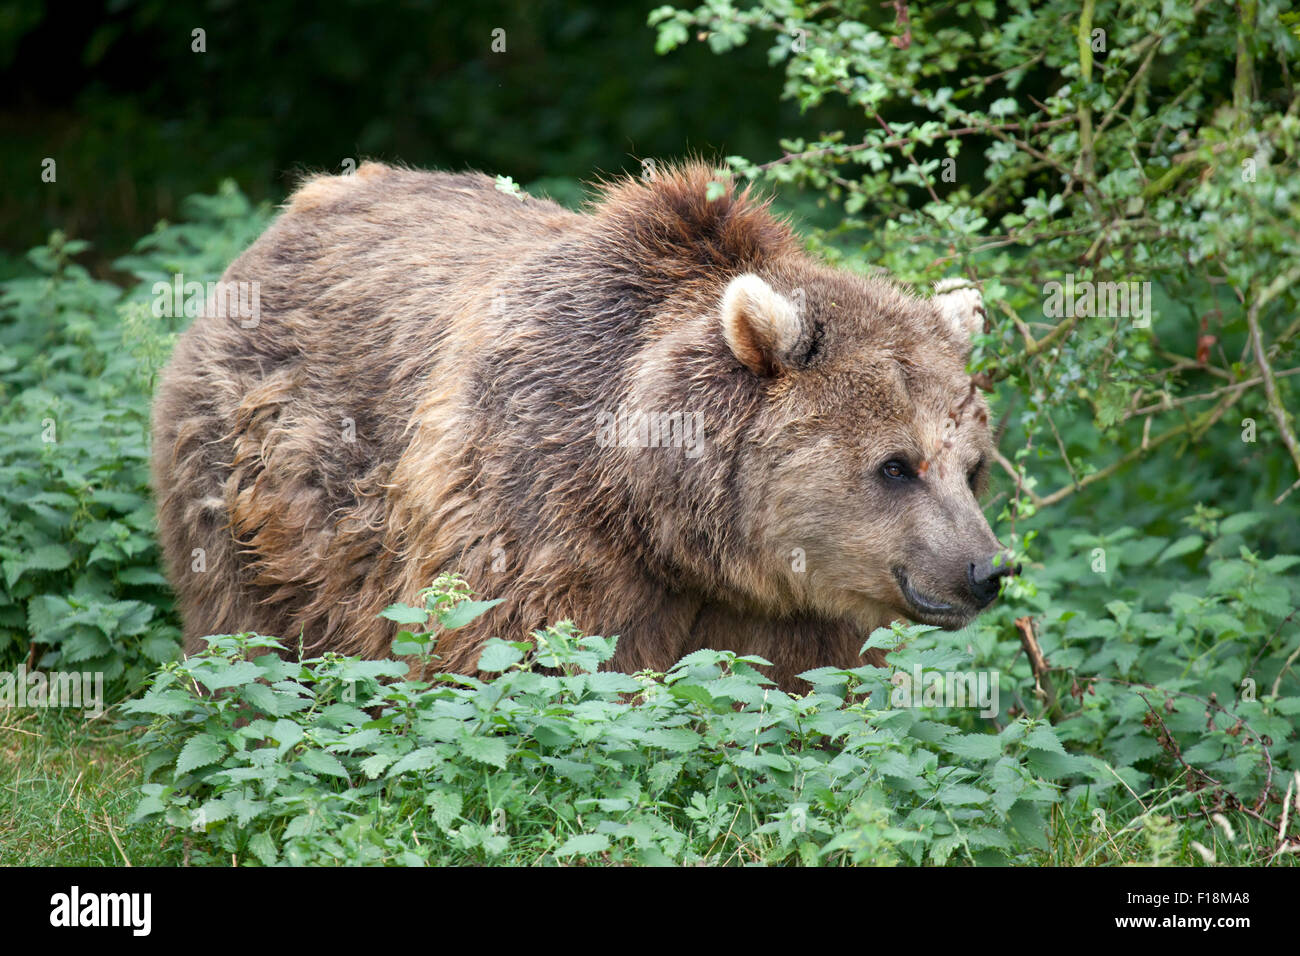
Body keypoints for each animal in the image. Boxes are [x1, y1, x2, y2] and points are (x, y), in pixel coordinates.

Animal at [150, 161, 1016, 692]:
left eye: (972, 466)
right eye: (896, 464)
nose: (984, 570)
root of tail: (295, 211)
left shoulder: (788, 604)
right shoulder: (542, 513)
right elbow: (522, 659)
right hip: (257, 474)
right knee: (243, 625)